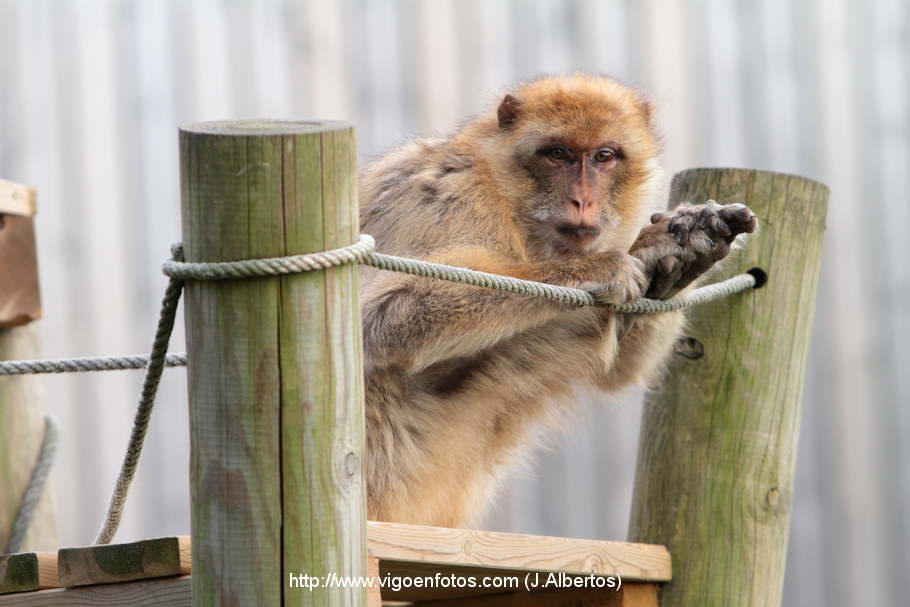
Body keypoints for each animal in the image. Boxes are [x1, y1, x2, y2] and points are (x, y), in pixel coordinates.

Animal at [359, 74, 757, 528]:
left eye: (604, 156)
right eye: (558, 154)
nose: (582, 200)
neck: (507, 199)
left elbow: (618, 369)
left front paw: (672, 245)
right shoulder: (443, 197)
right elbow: (384, 318)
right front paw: (600, 269)